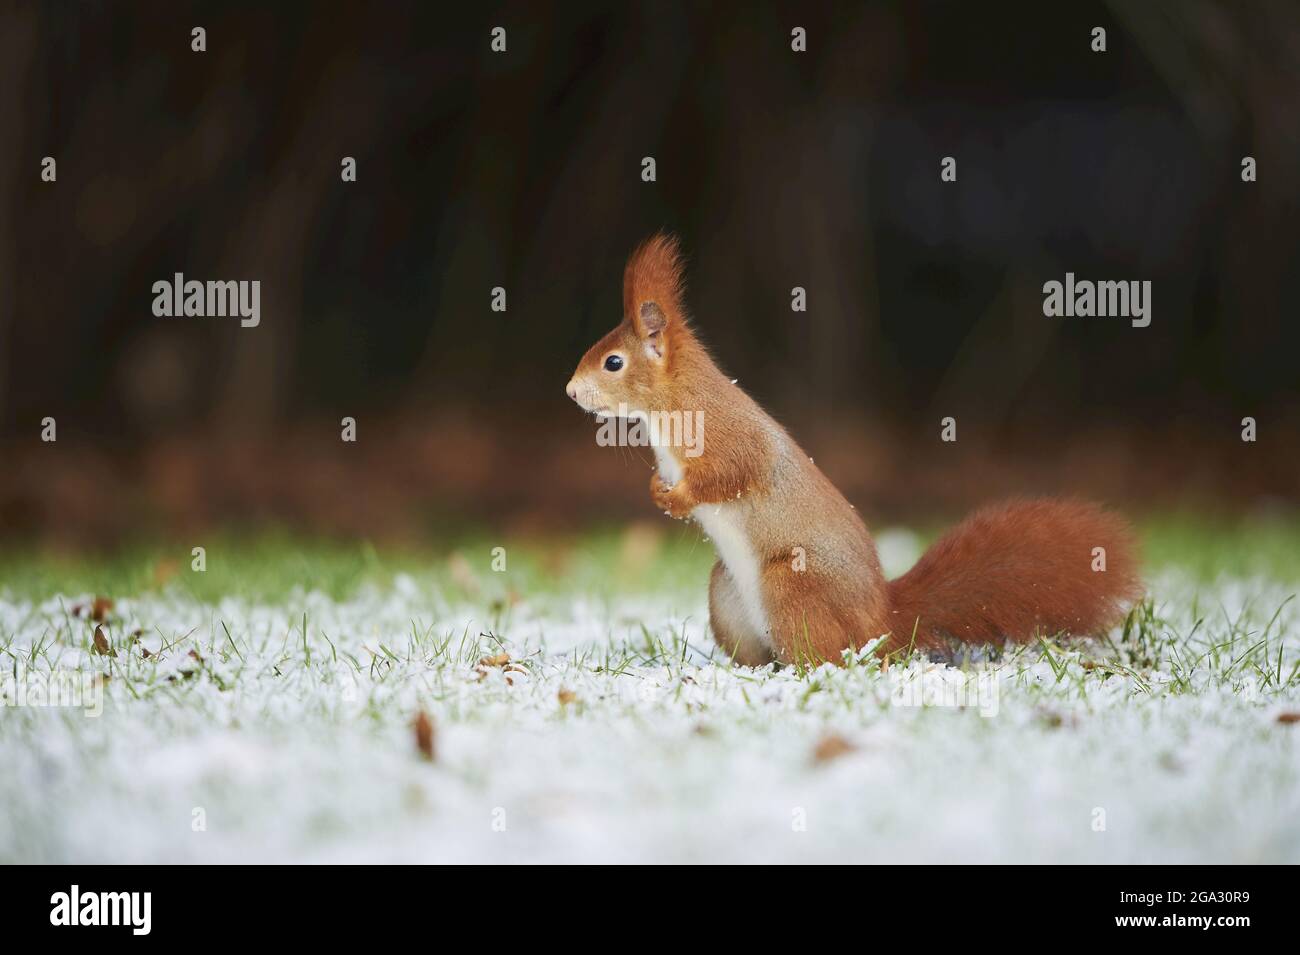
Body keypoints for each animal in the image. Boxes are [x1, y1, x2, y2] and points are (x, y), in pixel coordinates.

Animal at [566, 234, 1143, 666]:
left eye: (613, 363)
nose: (571, 391)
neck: (669, 405)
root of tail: (884, 622)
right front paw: (656, 490)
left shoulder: (725, 435)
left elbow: (731, 473)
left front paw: (680, 498)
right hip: (727, 594)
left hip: (792, 585)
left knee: (829, 657)